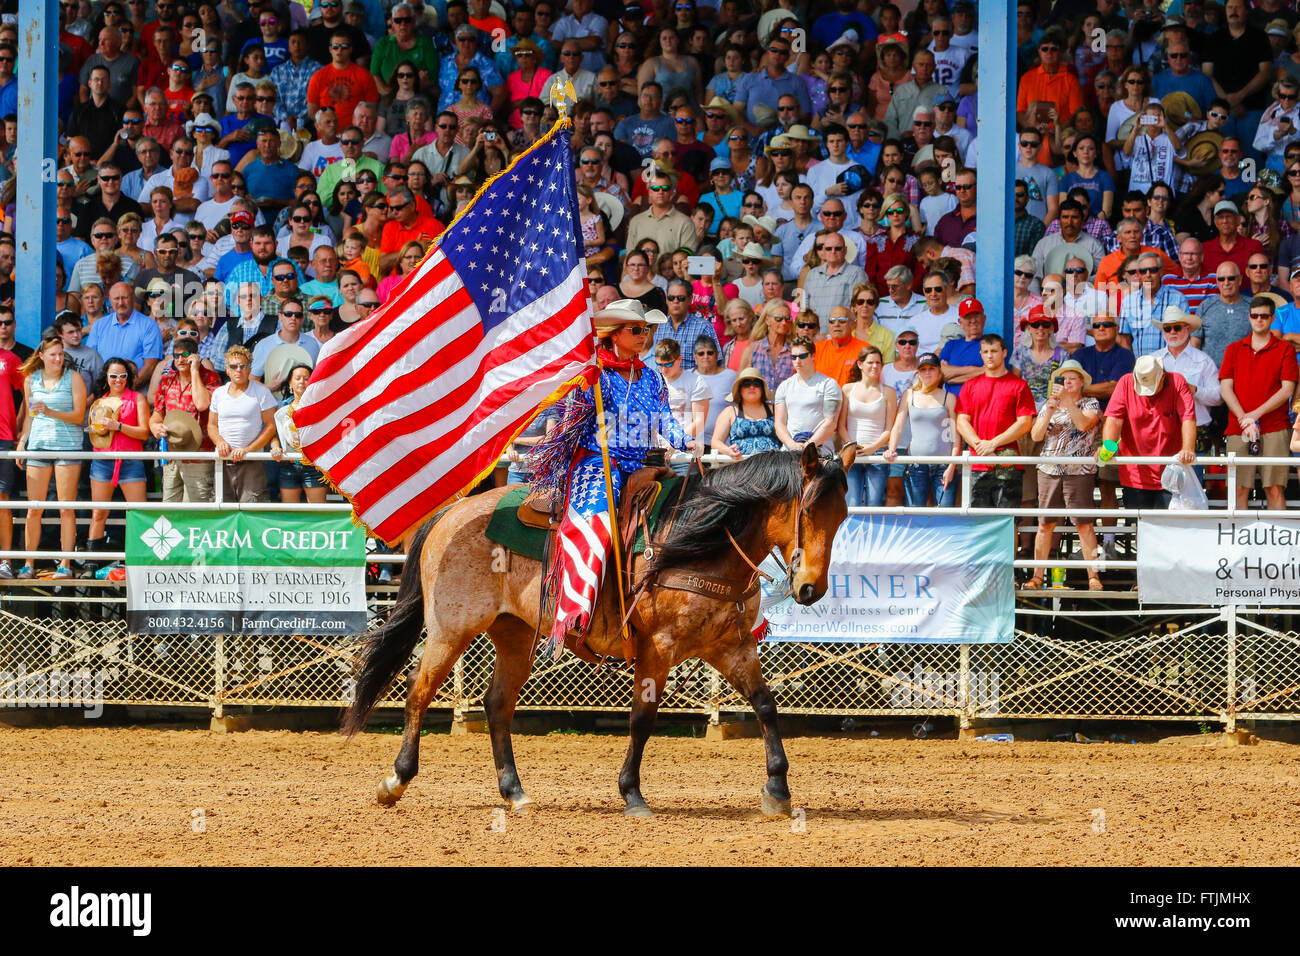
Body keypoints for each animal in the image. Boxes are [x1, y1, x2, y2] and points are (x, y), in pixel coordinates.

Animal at [341, 442, 858, 818]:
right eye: (808, 511)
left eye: (843, 515)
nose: (810, 589)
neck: (699, 542)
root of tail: (450, 513)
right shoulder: (658, 648)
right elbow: (643, 719)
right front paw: (632, 794)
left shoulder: (731, 646)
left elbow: (766, 706)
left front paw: (778, 790)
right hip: (451, 628)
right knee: (419, 691)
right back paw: (395, 781)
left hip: (514, 635)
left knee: (497, 705)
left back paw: (514, 792)